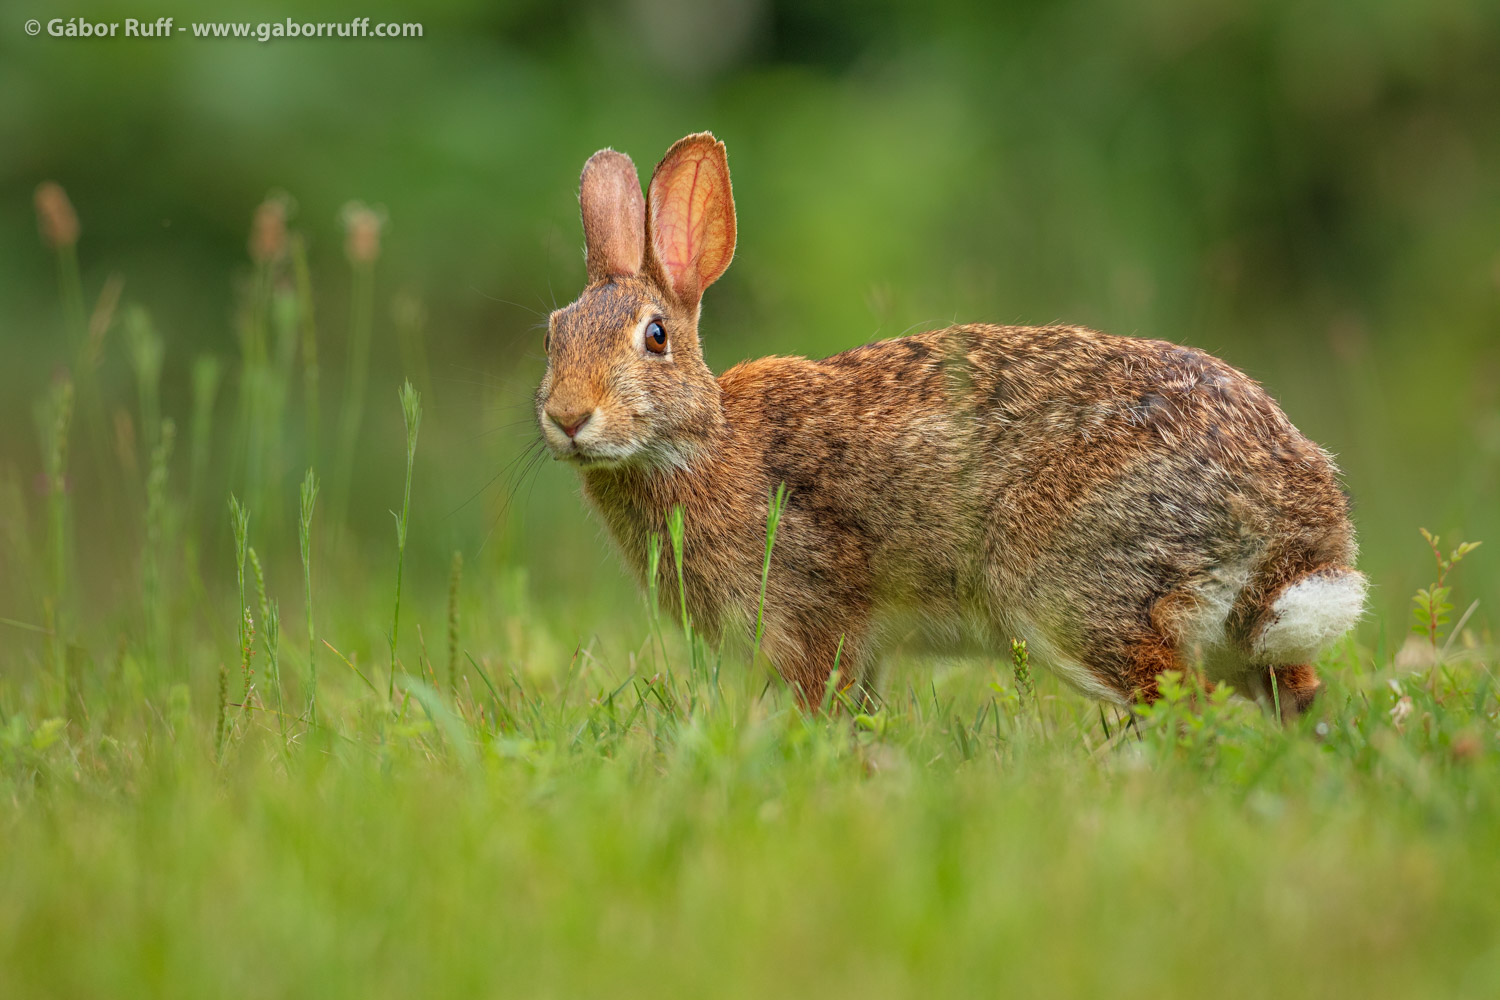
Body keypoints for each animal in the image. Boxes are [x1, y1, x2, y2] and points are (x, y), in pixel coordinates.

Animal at [535, 131, 1366, 719]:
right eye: (552, 334)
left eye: (655, 337)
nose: (568, 417)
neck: (704, 444)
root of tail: (1293, 508)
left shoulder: (810, 617)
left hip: (1070, 588)